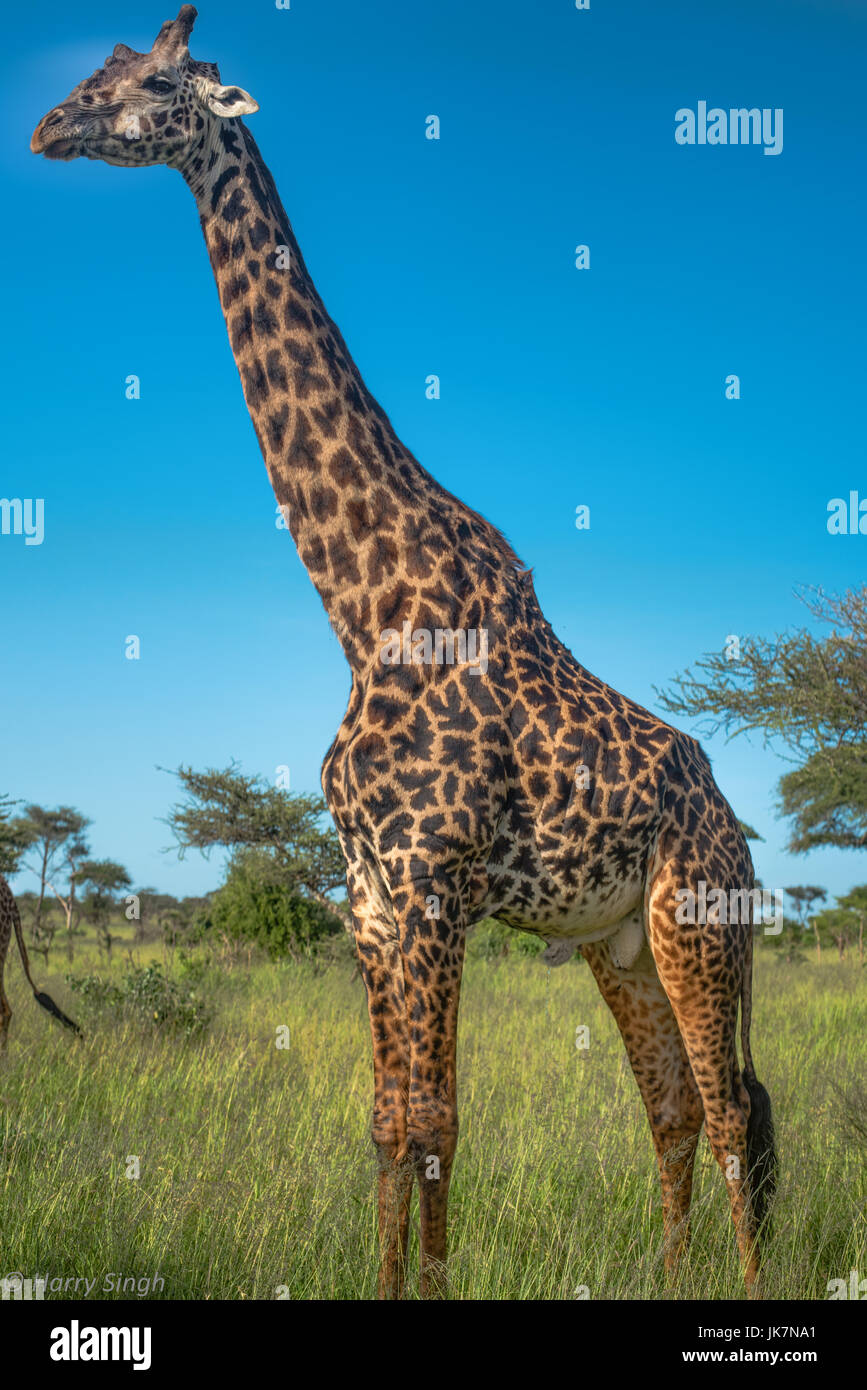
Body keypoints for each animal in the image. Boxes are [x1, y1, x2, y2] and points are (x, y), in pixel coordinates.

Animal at [32, 6, 776, 1297]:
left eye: (161, 83)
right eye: (101, 67)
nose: (45, 125)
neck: (363, 607)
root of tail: (735, 819)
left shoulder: (432, 886)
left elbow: (435, 1120)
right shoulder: (373, 898)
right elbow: (392, 1122)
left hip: (697, 917)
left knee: (730, 1109)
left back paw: (744, 1287)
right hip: (618, 938)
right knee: (675, 1107)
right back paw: (674, 1275)